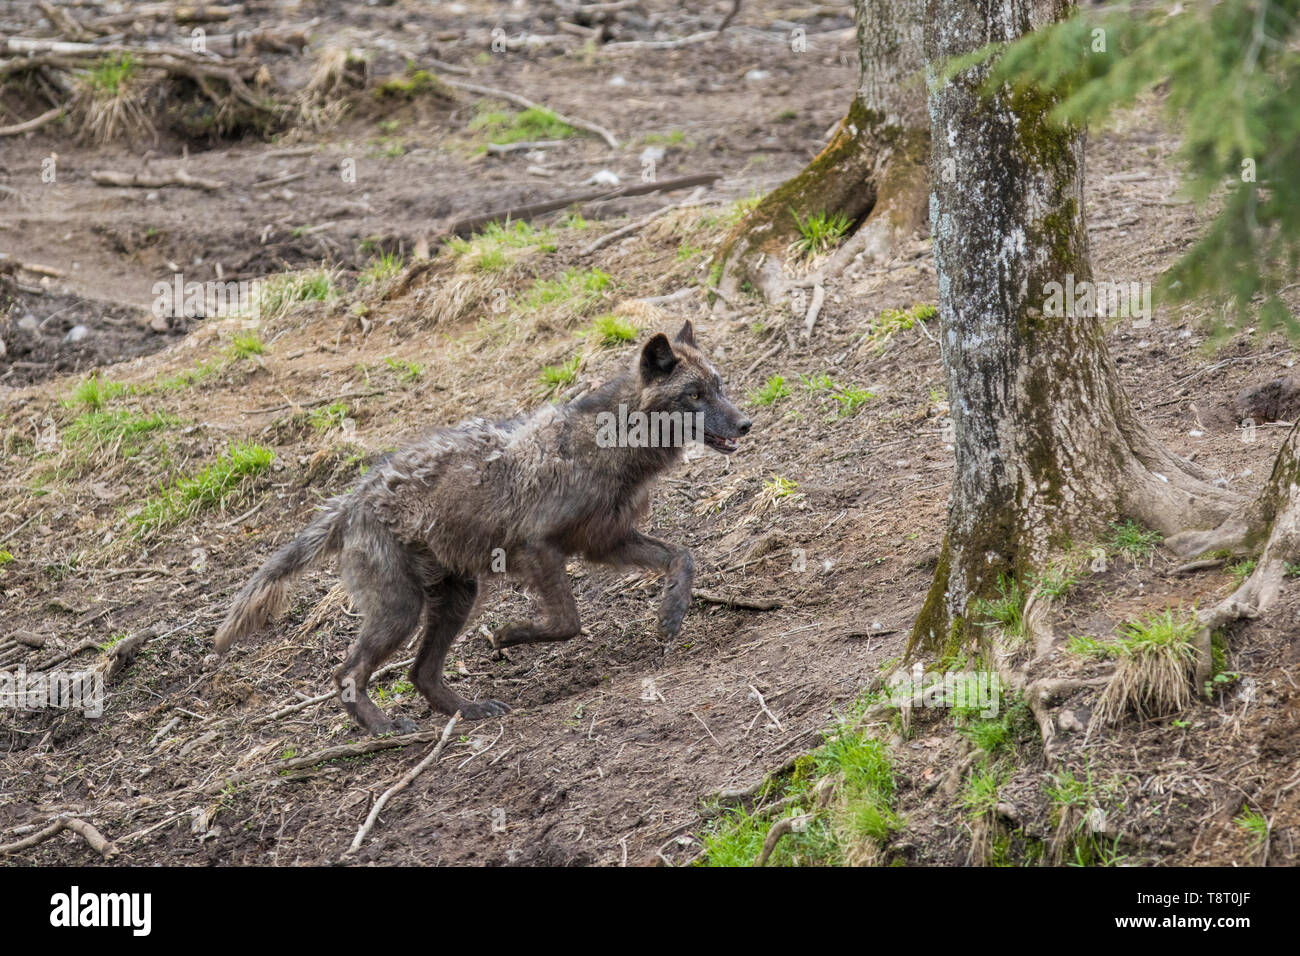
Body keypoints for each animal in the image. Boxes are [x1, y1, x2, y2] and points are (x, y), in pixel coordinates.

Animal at [214, 321, 751, 734]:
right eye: (694, 395)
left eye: (720, 386)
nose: (746, 424)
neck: (611, 444)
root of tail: (352, 499)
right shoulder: (540, 549)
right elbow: (567, 622)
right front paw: (509, 636)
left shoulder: (607, 542)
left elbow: (683, 556)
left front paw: (672, 613)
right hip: (402, 611)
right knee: (346, 673)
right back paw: (383, 726)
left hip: (455, 600)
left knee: (420, 675)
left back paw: (468, 710)